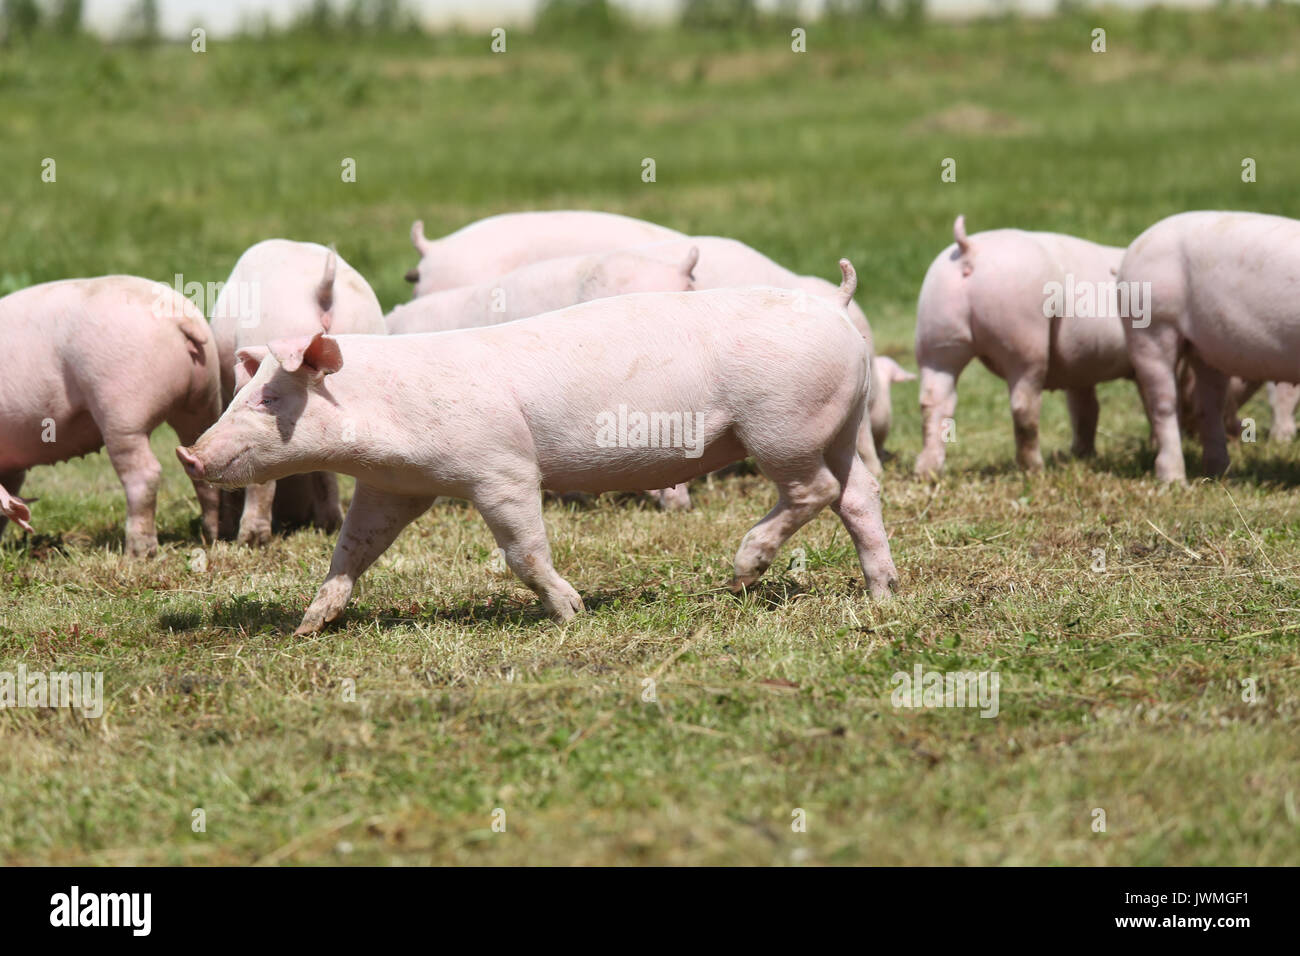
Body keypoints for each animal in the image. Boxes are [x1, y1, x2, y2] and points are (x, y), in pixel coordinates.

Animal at [0, 276, 221, 555]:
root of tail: (179, 317)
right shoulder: (13, 468)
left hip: (122, 408)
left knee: (145, 473)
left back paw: (137, 553)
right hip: (204, 397)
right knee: (203, 465)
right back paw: (213, 536)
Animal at [914, 216, 1130, 477]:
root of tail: (969, 248)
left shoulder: (1080, 369)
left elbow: (1084, 409)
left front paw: (1082, 456)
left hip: (935, 338)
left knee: (933, 402)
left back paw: (926, 471)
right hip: (1024, 339)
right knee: (1023, 405)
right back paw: (1034, 469)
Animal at [1119, 211, 1300, 482]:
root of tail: (1134, 247)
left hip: (1203, 350)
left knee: (1209, 405)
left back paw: (1219, 474)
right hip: (1150, 327)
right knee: (1164, 404)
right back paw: (1174, 480)